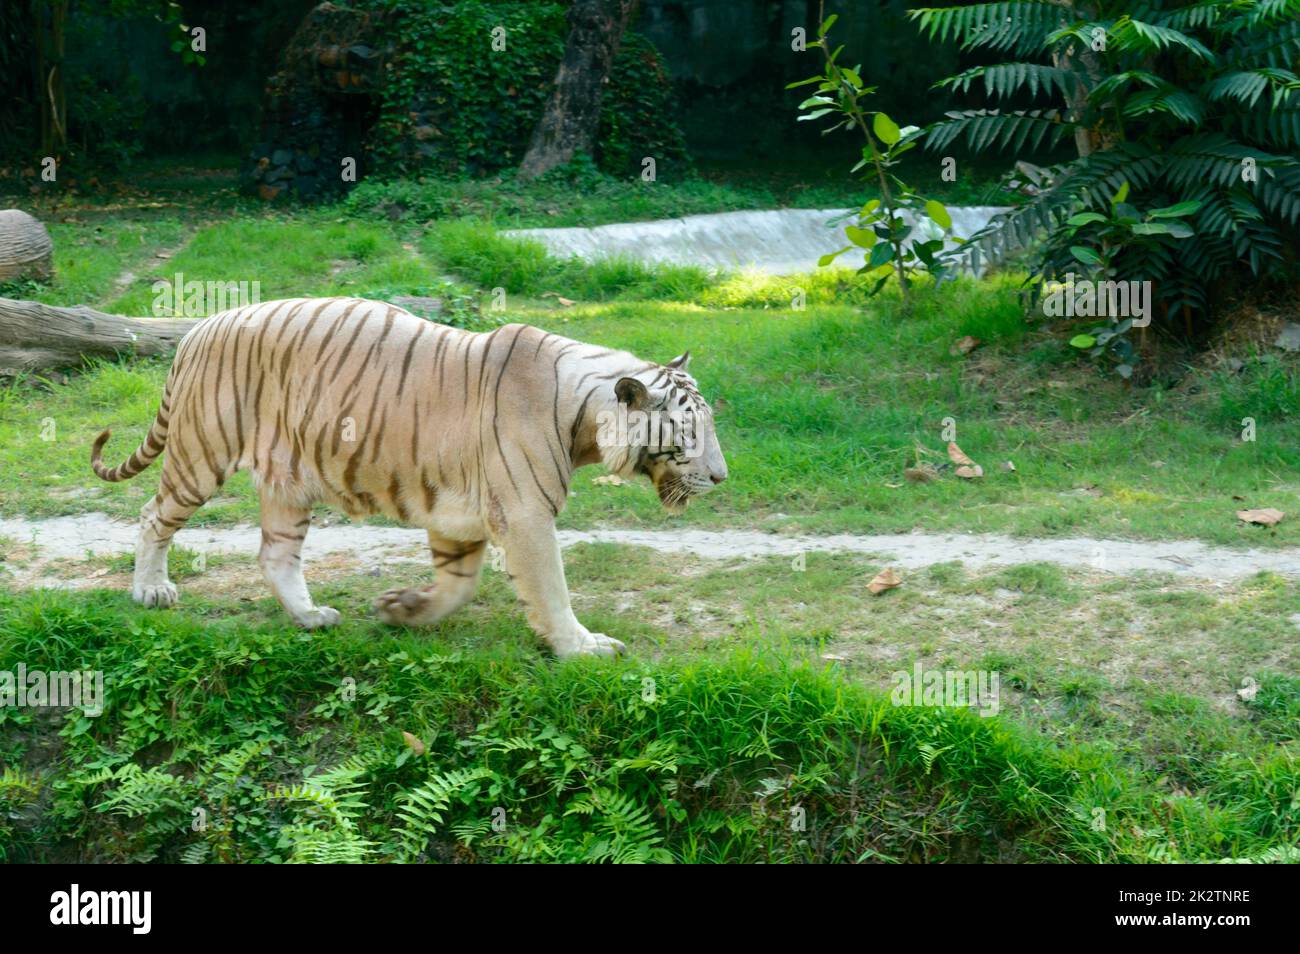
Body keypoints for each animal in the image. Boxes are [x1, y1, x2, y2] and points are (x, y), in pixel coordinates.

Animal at [91, 297, 727, 657]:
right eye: (690, 431)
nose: (722, 478)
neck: (584, 421)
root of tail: (197, 329)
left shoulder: (460, 513)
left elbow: (458, 585)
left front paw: (402, 610)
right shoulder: (524, 514)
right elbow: (551, 589)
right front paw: (582, 648)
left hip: (288, 480)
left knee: (275, 554)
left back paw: (311, 617)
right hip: (203, 454)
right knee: (153, 516)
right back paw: (150, 590)